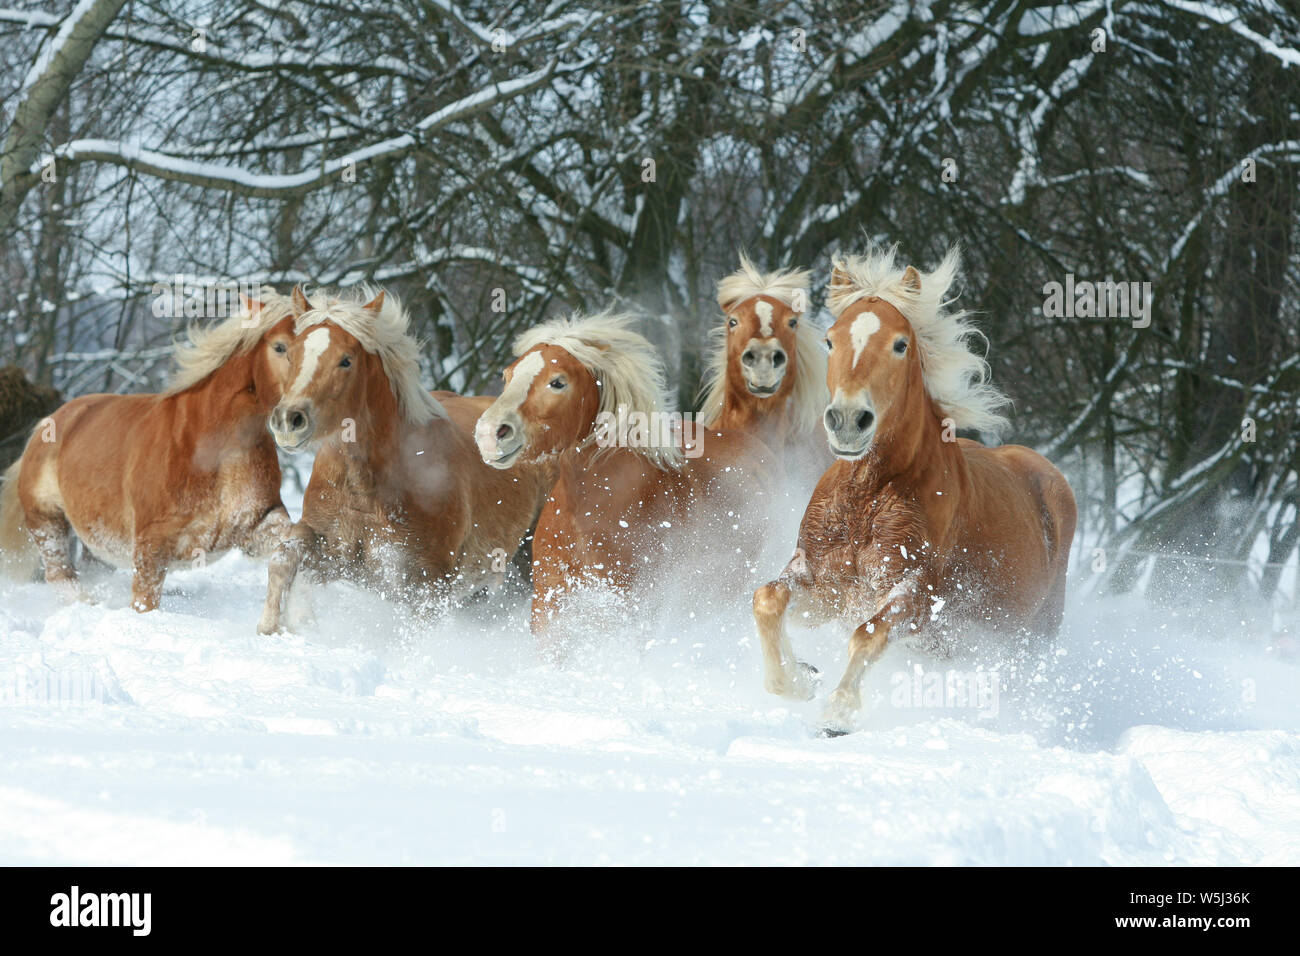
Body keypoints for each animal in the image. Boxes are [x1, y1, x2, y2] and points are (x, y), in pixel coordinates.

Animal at [0, 293, 298, 610]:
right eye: (279, 346)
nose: (296, 416)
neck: (219, 452)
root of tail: (46, 425)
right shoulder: (151, 543)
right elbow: (145, 601)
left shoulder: (256, 525)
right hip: (46, 519)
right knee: (60, 574)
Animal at [256, 285, 555, 634]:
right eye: (290, 354)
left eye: (346, 361)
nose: (289, 421)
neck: (365, 487)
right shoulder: (331, 552)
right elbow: (283, 558)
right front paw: (273, 626)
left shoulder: (425, 584)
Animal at [751, 246, 1077, 734]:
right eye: (830, 340)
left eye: (900, 344)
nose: (848, 421)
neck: (868, 498)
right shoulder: (822, 583)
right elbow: (769, 600)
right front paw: (799, 679)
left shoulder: (916, 596)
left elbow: (867, 635)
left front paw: (838, 712)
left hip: (1034, 633)